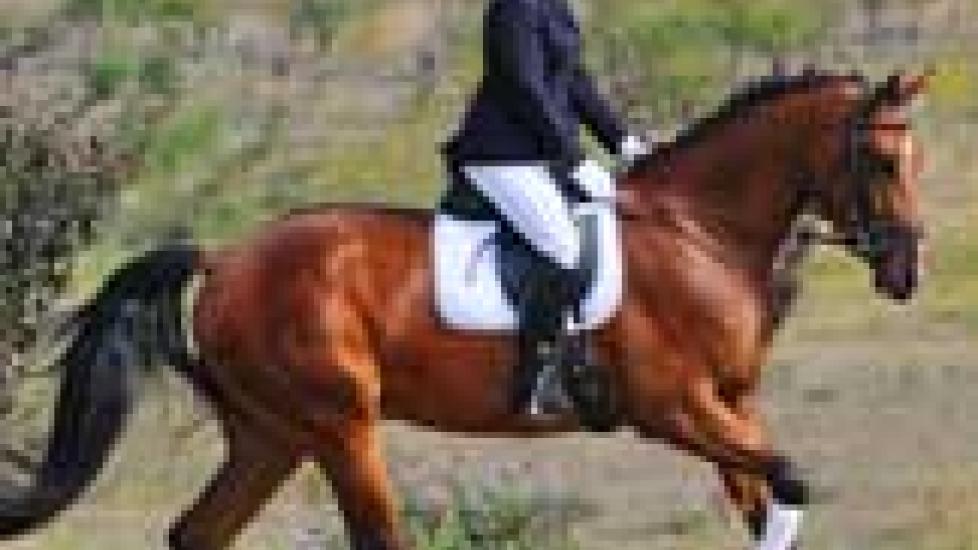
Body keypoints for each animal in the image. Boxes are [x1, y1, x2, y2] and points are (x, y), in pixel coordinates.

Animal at [0, 70, 928, 550]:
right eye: (883, 162)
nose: (906, 270)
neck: (699, 232)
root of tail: (226, 259)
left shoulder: (730, 405)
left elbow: (767, 500)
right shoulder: (671, 410)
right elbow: (791, 479)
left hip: (271, 436)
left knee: (198, 534)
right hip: (339, 427)